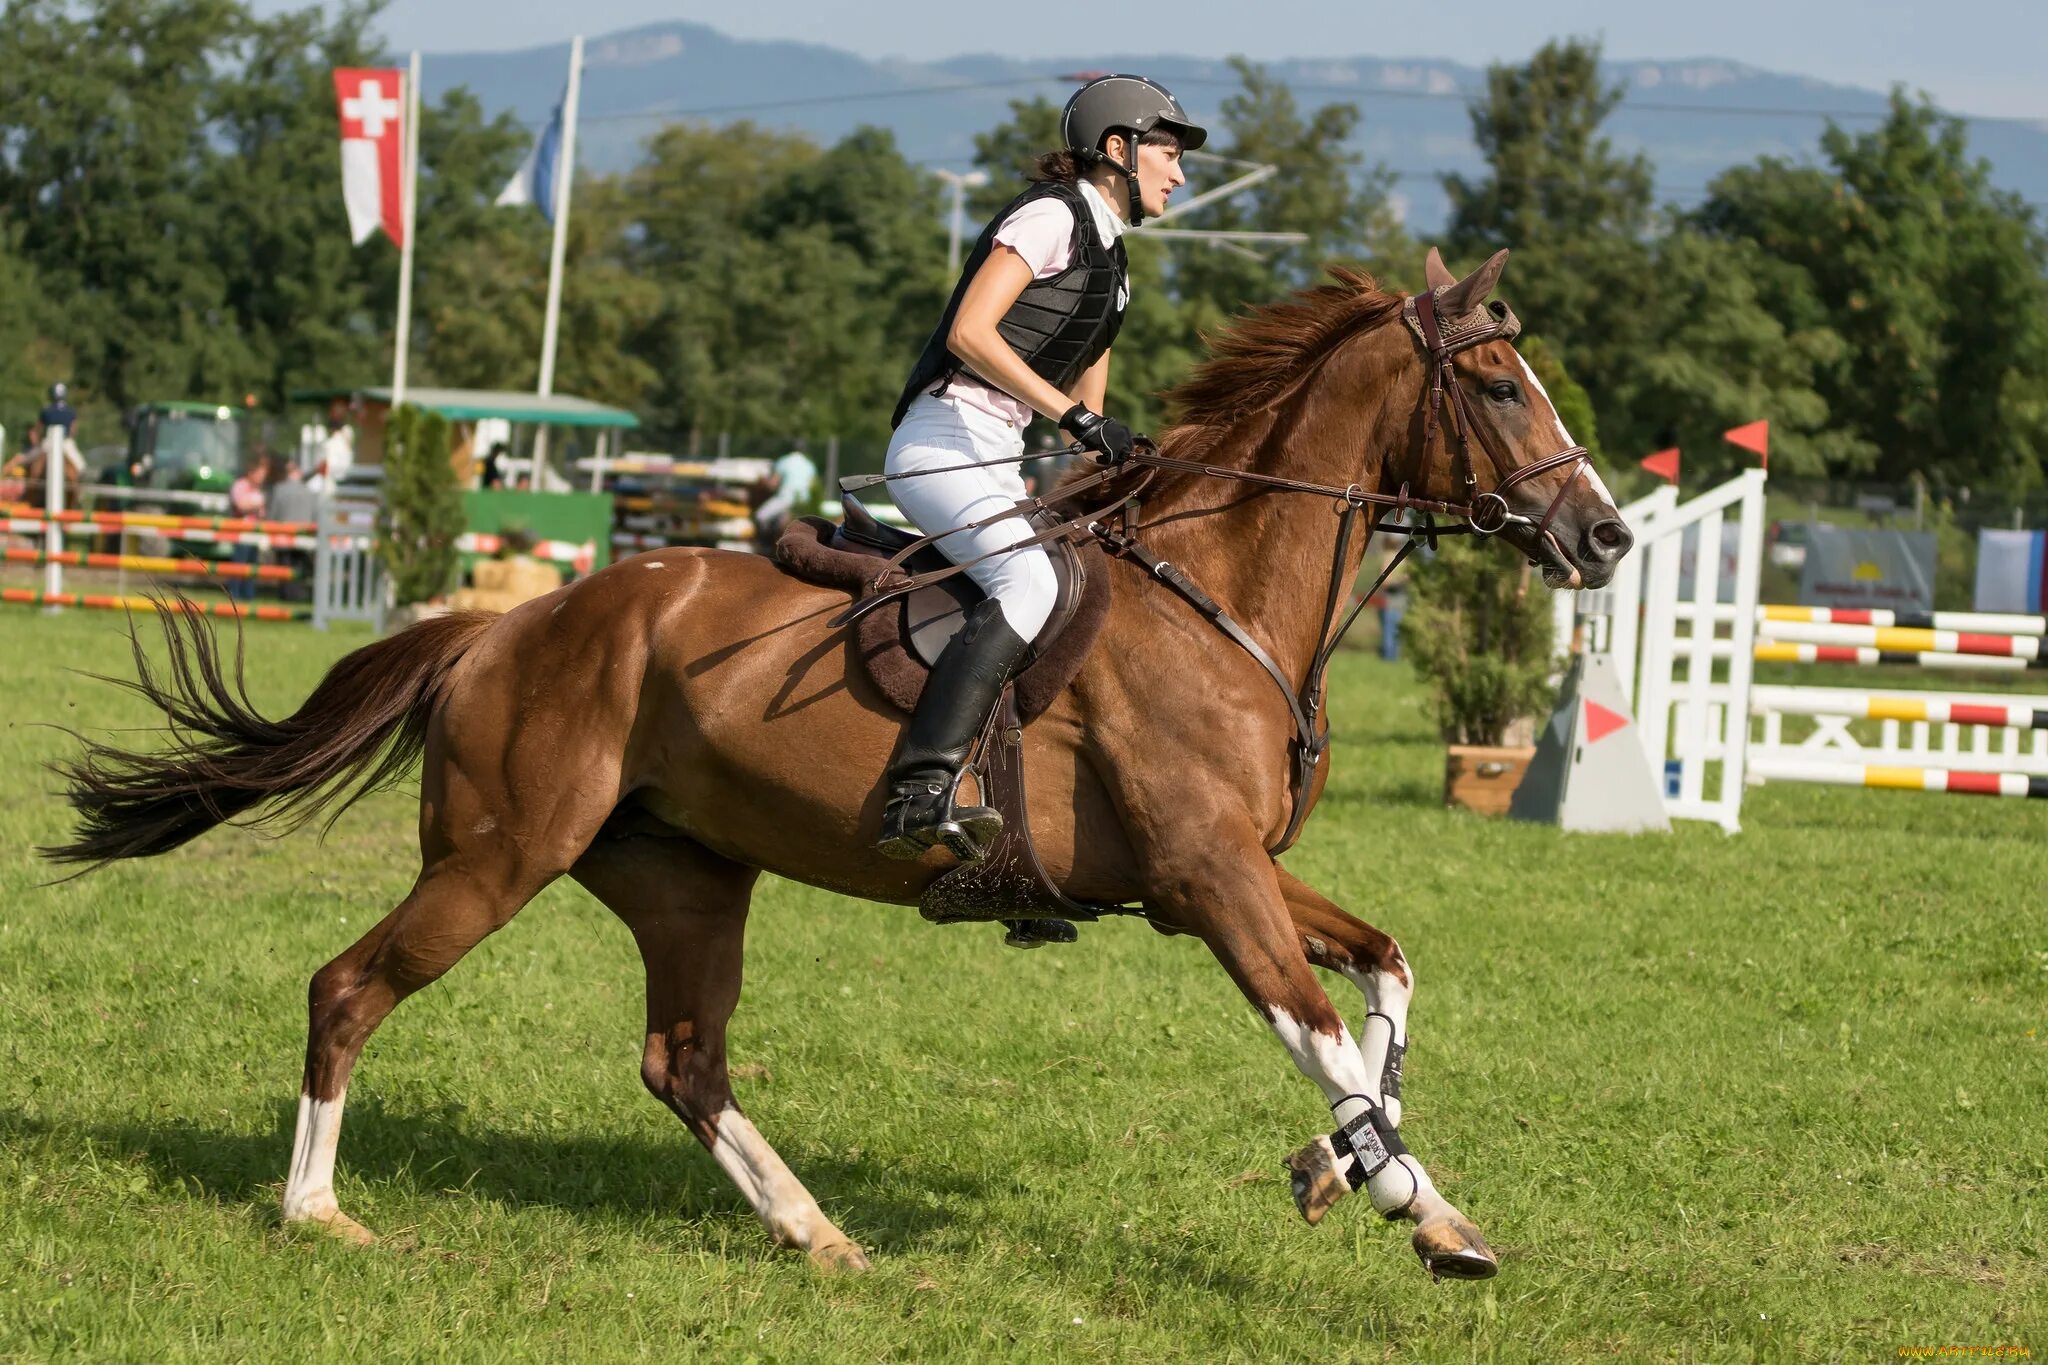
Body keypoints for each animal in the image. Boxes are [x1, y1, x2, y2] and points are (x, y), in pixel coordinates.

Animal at [48, 250, 1630, 1285]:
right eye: (1500, 384)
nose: (1605, 536)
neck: (1222, 589)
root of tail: (501, 626)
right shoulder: (1206, 879)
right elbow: (1318, 1030)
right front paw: (1419, 1210)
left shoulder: (1229, 872)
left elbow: (1385, 980)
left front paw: (1342, 1169)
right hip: (499, 857)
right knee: (351, 988)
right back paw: (316, 1214)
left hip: (685, 875)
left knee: (683, 1062)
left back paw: (815, 1234)